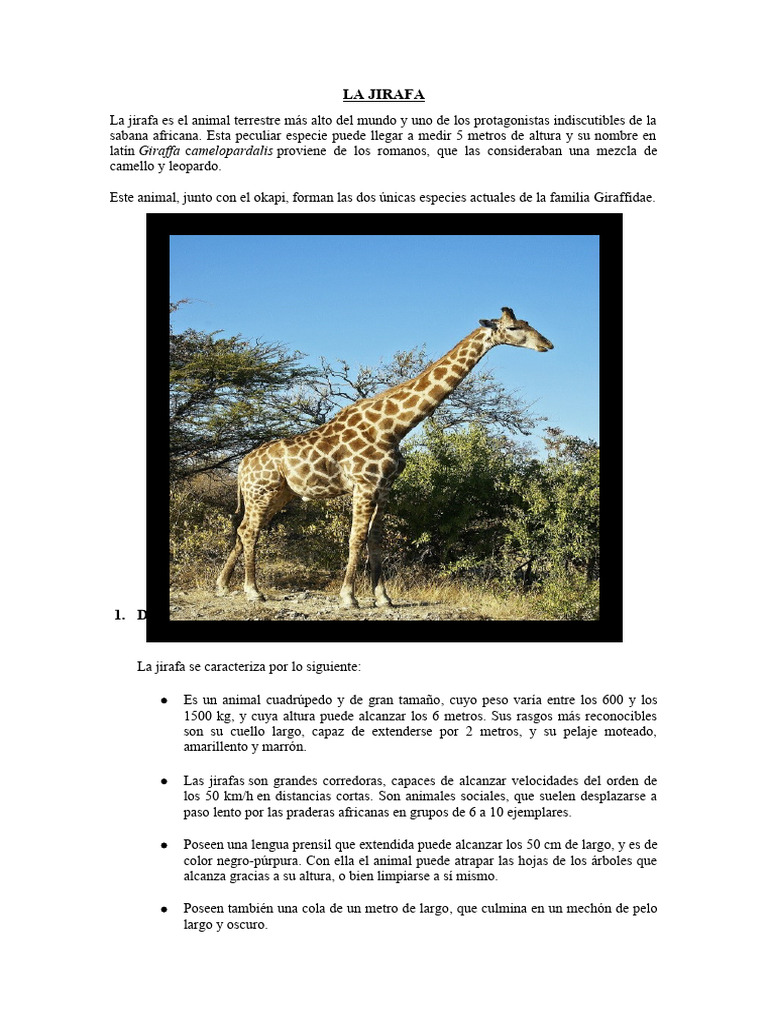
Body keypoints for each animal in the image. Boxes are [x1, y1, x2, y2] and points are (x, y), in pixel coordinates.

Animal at [216, 307, 553, 608]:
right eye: (513, 328)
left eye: (528, 323)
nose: (547, 344)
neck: (393, 427)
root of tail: (242, 465)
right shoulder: (364, 485)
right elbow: (356, 538)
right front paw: (349, 598)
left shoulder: (385, 487)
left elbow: (376, 540)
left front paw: (383, 598)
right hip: (262, 492)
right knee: (249, 530)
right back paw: (252, 591)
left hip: (278, 494)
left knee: (244, 530)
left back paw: (224, 585)